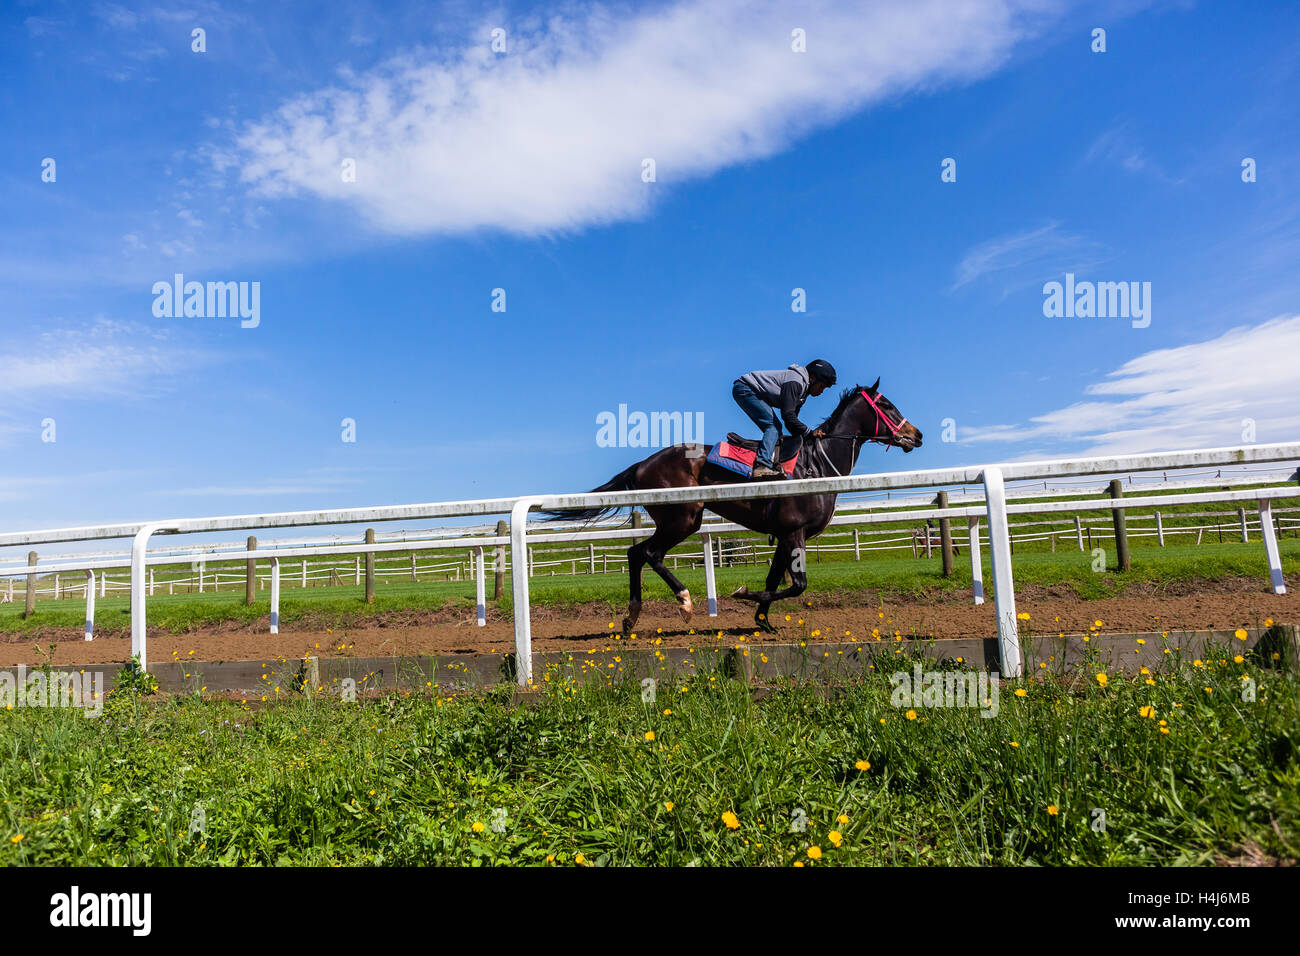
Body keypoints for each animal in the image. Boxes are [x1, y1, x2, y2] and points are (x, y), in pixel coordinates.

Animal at [543, 379, 922, 634]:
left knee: (636, 553)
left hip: (680, 521)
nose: (916, 435)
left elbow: (775, 578)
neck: (817, 465)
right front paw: (744, 595)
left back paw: (630, 617)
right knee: (648, 553)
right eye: (888, 406)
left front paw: (763, 621)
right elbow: (796, 585)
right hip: (683, 519)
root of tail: (642, 464)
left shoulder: (783, 534)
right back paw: (684, 602)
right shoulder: (794, 531)